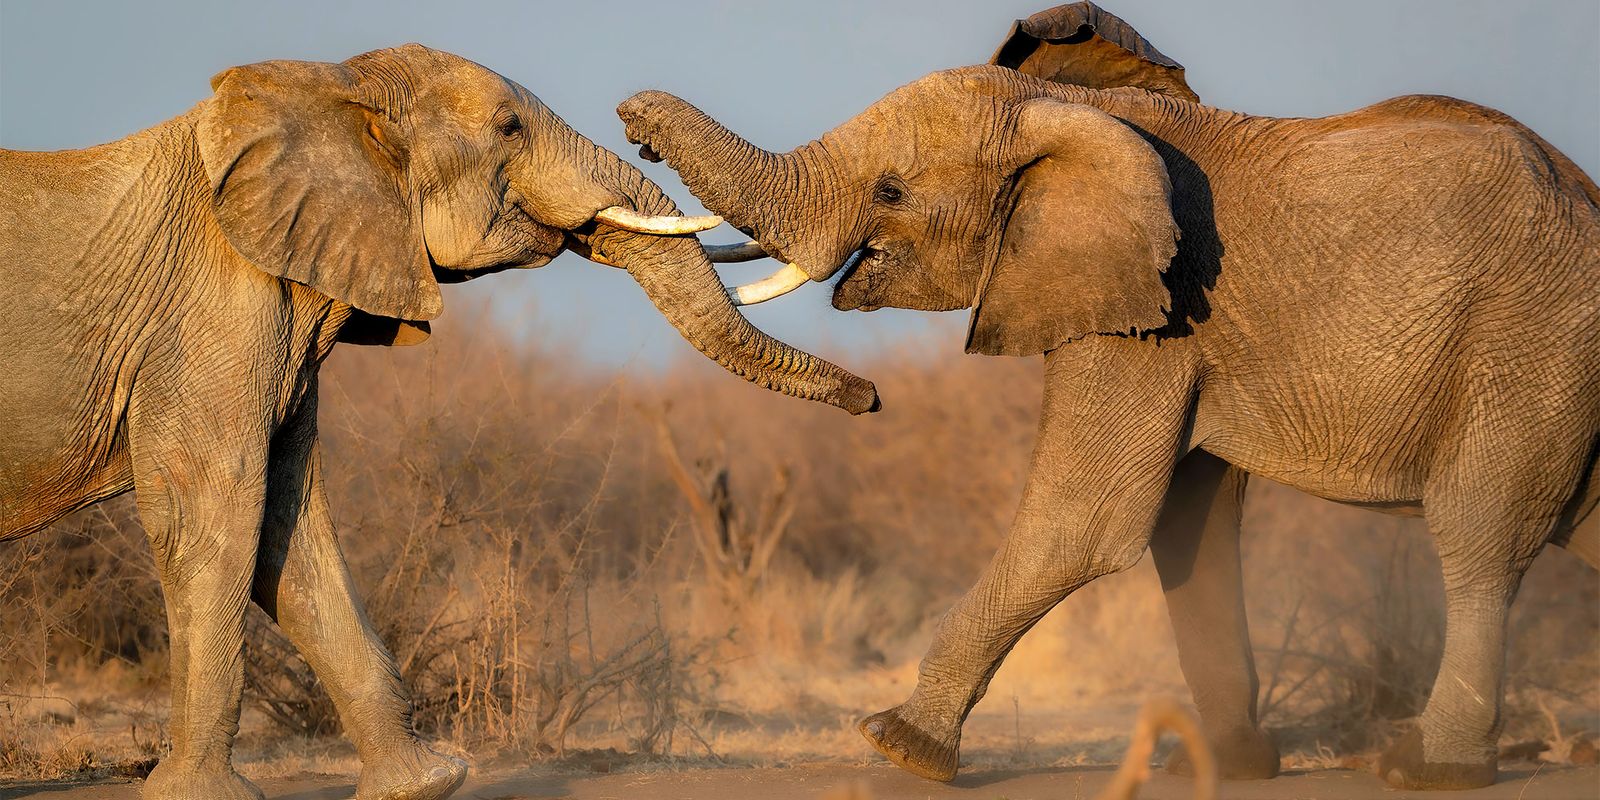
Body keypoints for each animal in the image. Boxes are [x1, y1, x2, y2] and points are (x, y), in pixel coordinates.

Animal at [0, 44, 877, 800]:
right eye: (510, 128)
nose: (870, 398)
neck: (333, 88)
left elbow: (289, 530)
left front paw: (425, 783)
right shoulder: (210, 315)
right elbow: (214, 513)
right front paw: (205, 799)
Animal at [615, 50, 1600, 792]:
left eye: (891, 191)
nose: (627, 122)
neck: (1074, 110)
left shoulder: (1152, 310)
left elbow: (1085, 520)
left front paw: (899, 744)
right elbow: (1189, 528)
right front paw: (1225, 766)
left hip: (1529, 347)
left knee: (1478, 538)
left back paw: (1428, 768)